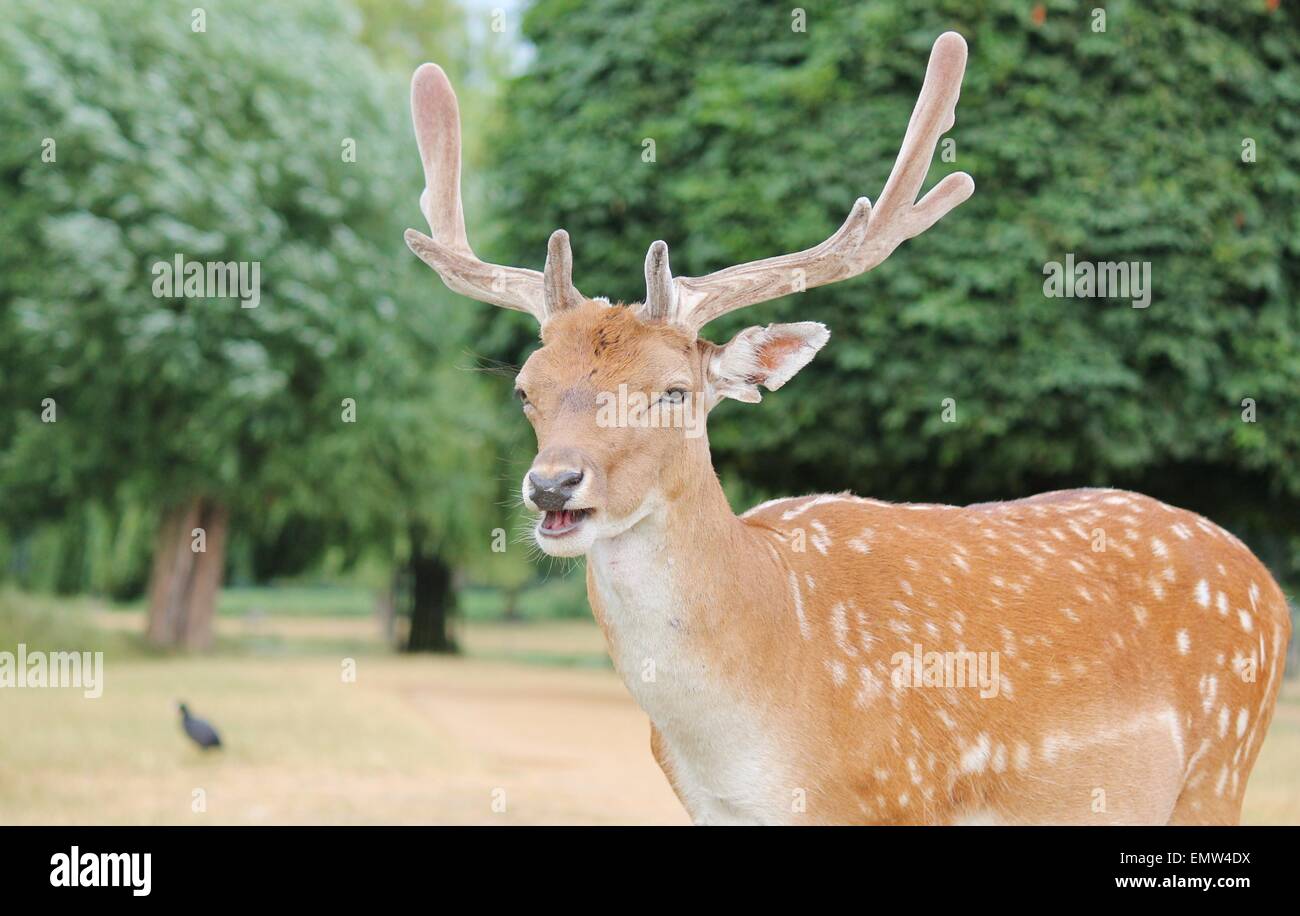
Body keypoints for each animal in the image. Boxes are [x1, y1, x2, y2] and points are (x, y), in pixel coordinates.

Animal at [404, 32, 1291, 825]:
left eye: (675, 392)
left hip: (1217, 769)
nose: (553, 484)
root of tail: (1271, 591)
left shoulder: (901, 793)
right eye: (525, 388)